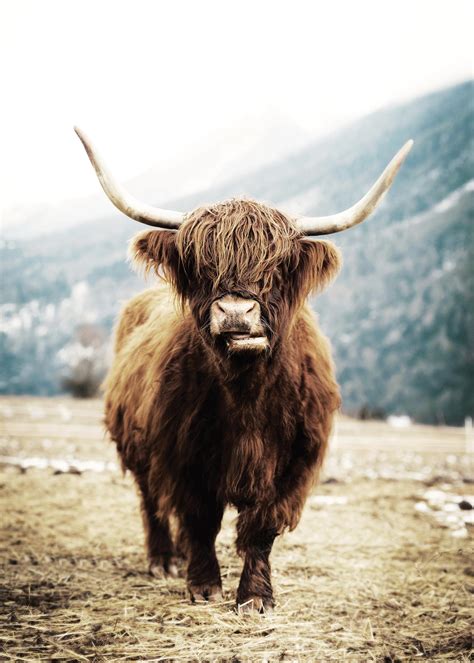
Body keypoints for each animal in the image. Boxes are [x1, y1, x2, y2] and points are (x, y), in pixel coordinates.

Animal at [75, 128, 412, 612]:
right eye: (201, 266)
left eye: (277, 267)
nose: (236, 312)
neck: (247, 395)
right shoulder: (182, 455)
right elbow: (198, 519)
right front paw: (203, 586)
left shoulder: (294, 464)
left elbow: (261, 528)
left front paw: (255, 596)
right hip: (137, 446)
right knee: (151, 501)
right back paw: (164, 559)